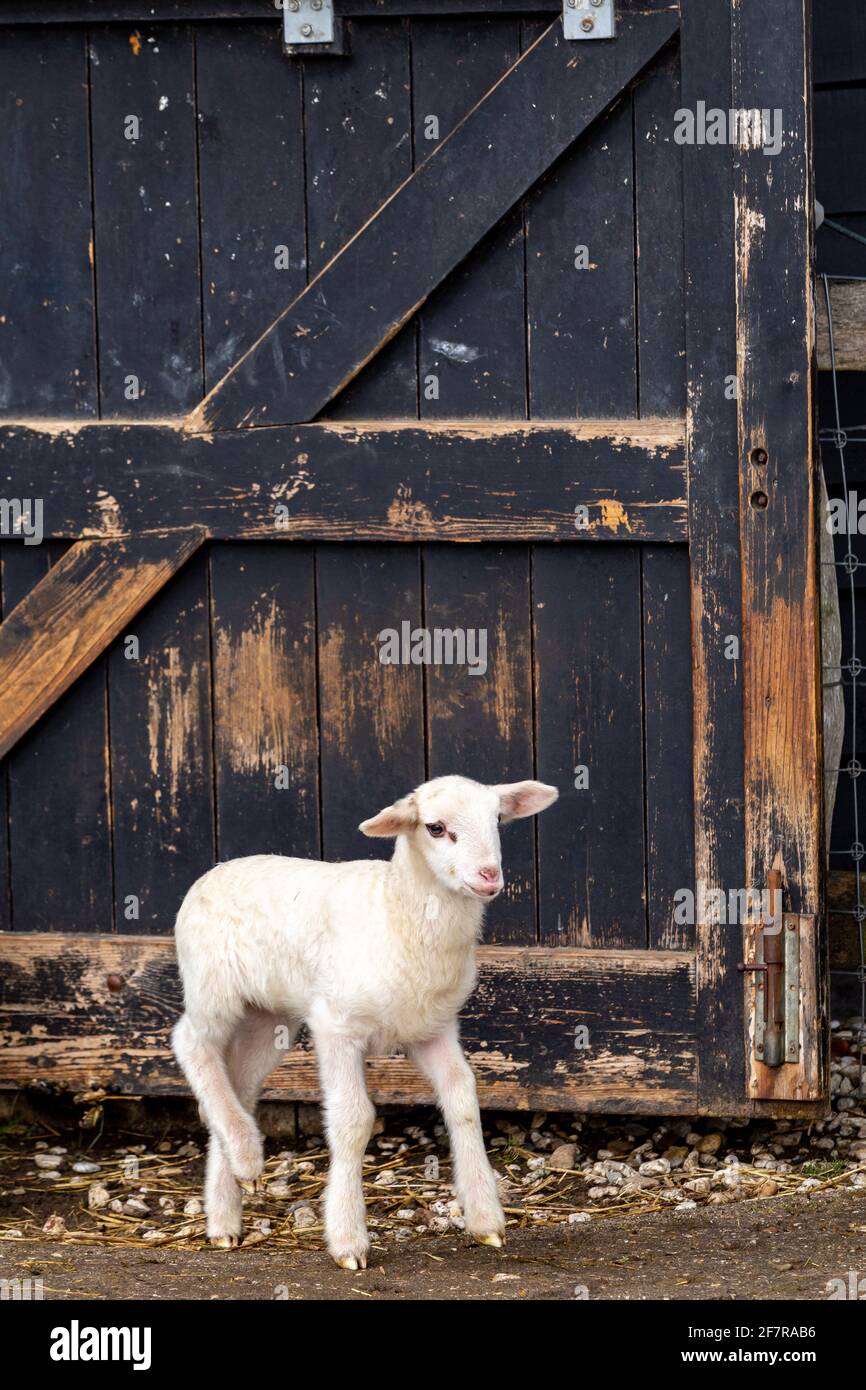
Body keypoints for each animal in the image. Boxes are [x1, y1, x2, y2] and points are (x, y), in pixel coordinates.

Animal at [171, 774, 558, 1269]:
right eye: (435, 828)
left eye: (497, 819)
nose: (489, 875)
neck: (398, 911)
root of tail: (215, 869)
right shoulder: (336, 1025)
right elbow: (354, 1120)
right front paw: (348, 1239)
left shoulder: (434, 1029)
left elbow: (464, 1102)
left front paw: (486, 1219)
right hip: (212, 984)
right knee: (190, 1042)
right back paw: (243, 1155)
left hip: (269, 1016)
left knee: (237, 1084)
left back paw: (230, 1205)